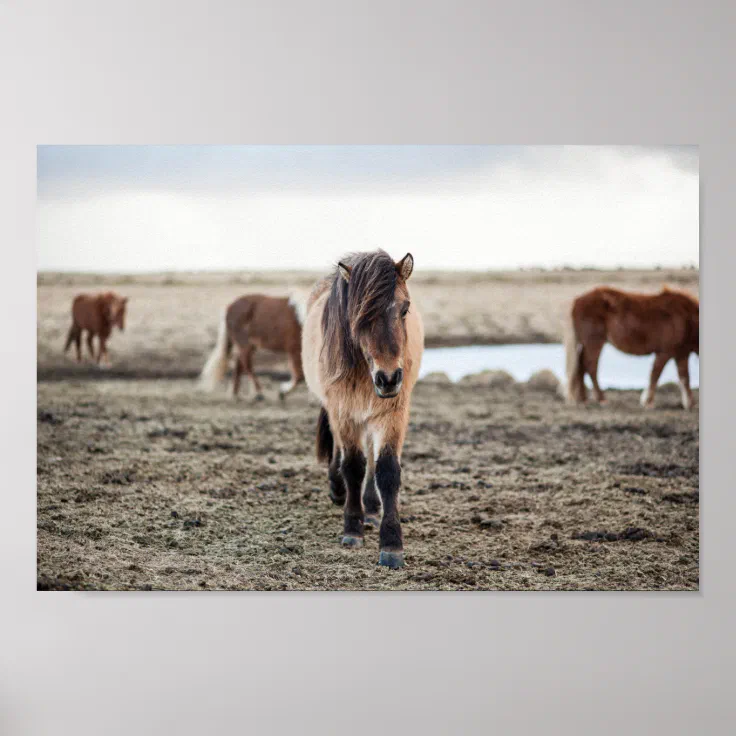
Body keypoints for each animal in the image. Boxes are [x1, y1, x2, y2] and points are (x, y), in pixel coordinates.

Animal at [302, 250, 424, 568]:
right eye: (360, 316)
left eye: (405, 309)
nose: (389, 378)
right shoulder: (343, 412)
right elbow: (353, 466)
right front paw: (352, 529)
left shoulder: (392, 413)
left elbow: (386, 470)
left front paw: (392, 544)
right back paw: (339, 490)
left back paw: (370, 508)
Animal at [564, 286, 699, 409]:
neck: (686, 318)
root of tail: (577, 301)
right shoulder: (665, 352)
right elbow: (656, 374)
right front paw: (648, 401)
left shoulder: (682, 354)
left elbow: (684, 377)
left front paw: (689, 404)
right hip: (594, 342)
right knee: (590, 366)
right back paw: (601, 399)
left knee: (581, 367)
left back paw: (583, 399)